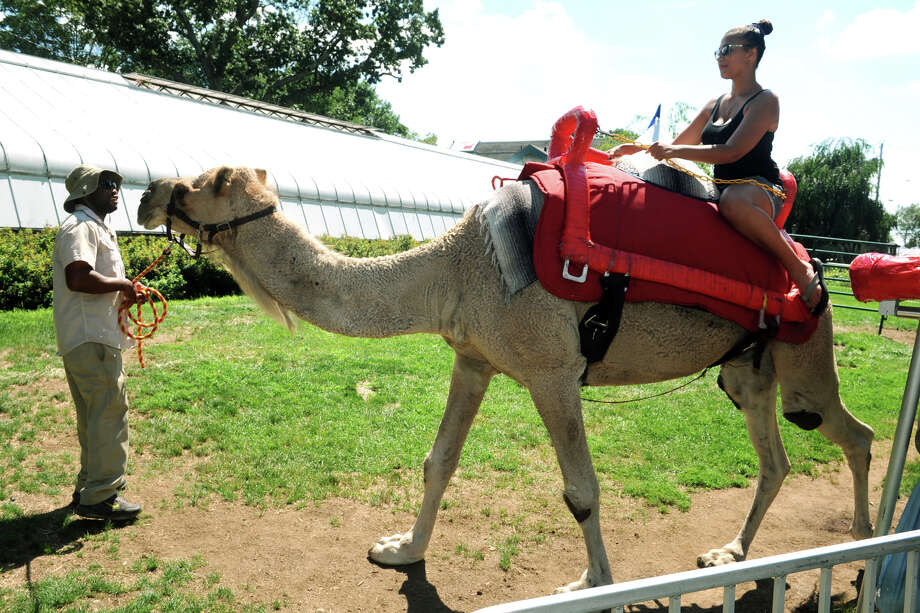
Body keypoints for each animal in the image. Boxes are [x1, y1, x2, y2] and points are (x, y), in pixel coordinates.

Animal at [137, 164, 874, 595]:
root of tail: (812, 263)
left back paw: (865, 546)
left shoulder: (553, 372)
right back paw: (729, 552)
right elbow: (438, 460)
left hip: (806, 358)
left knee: (854, 432)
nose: (145, 194)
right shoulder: (474, 358)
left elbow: (581, 491)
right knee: (777, 457)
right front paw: (401, 550)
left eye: (200, 181)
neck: (454, 266)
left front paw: (592, 583)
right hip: (746, 370)